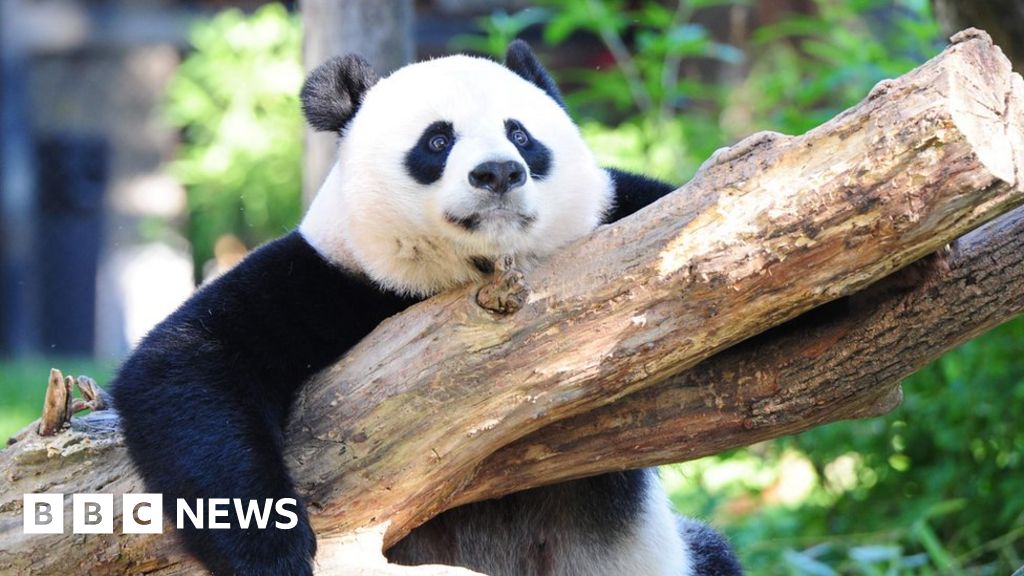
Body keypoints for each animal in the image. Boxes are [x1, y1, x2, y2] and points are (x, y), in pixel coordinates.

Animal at [111, 41, 742, 576]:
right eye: (437, 141)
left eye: (521, 135)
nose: (498, 173)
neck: (476, 270)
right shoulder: (331, 277)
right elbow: (188, 362)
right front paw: (272, 551)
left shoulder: (624, 217)